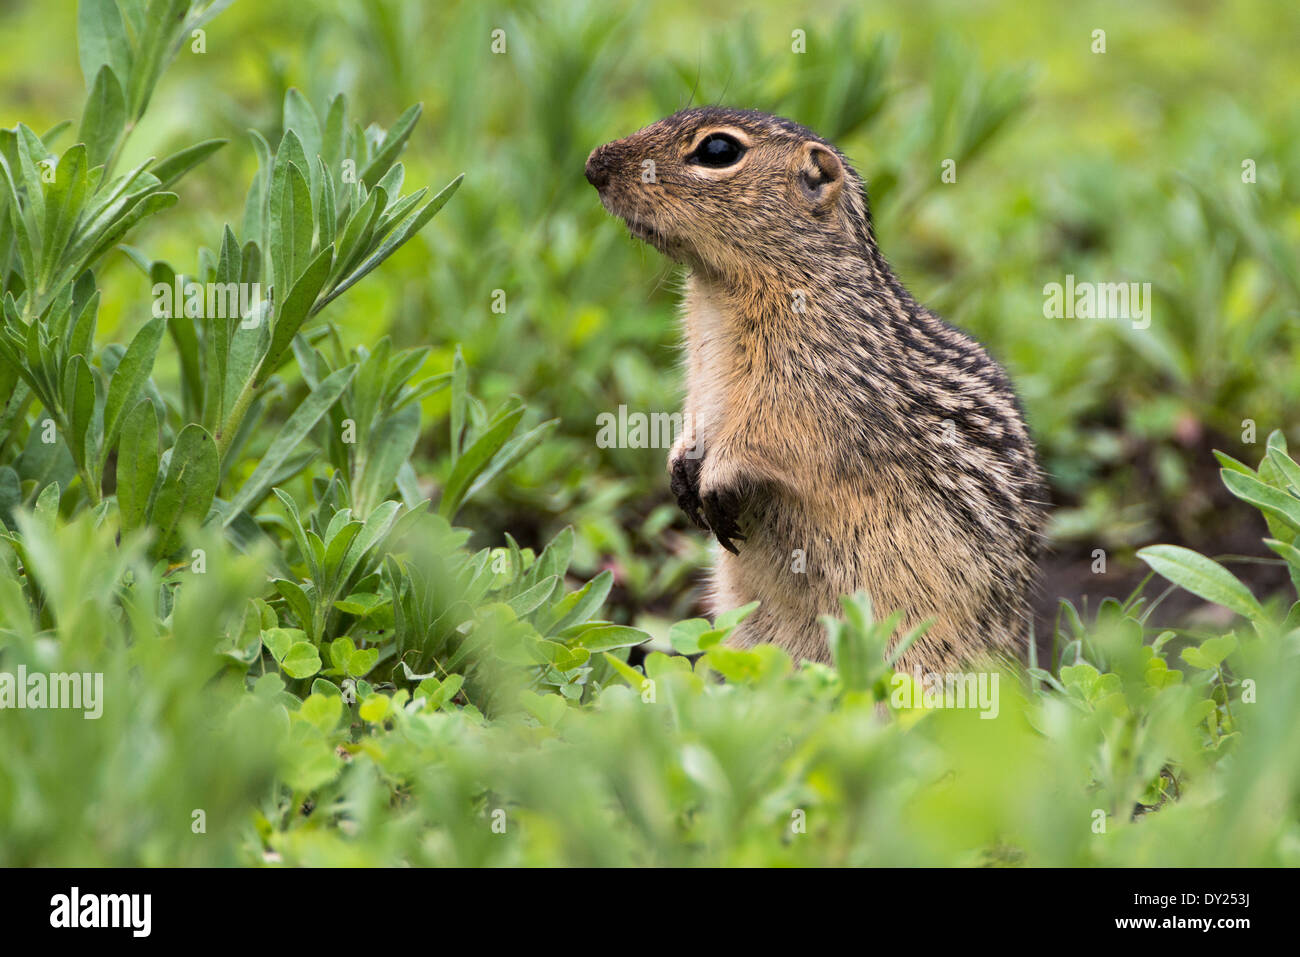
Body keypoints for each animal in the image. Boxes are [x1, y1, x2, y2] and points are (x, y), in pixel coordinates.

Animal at [585, 107, 1047, 674]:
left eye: (718, 151)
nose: (593, 164)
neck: (721, 290)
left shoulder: (813, 392)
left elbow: (768, 438)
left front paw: (715, 480)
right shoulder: (701, 377)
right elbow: (694, 418)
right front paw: (679, 468)